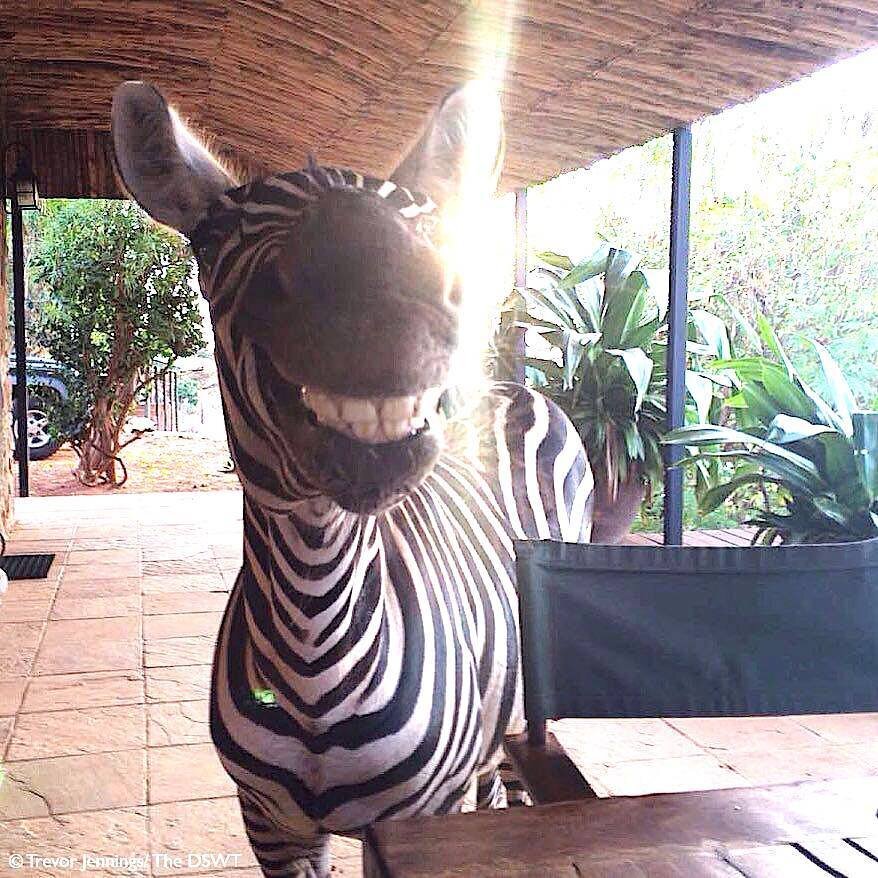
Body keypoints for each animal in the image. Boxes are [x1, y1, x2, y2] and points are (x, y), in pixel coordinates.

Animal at [111, 80, 593, 877]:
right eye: (213, 236)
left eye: (420, 216)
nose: (386, 293)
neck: (314, 648)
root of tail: (511, 388)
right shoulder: (271, 825)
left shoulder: (418, 819)